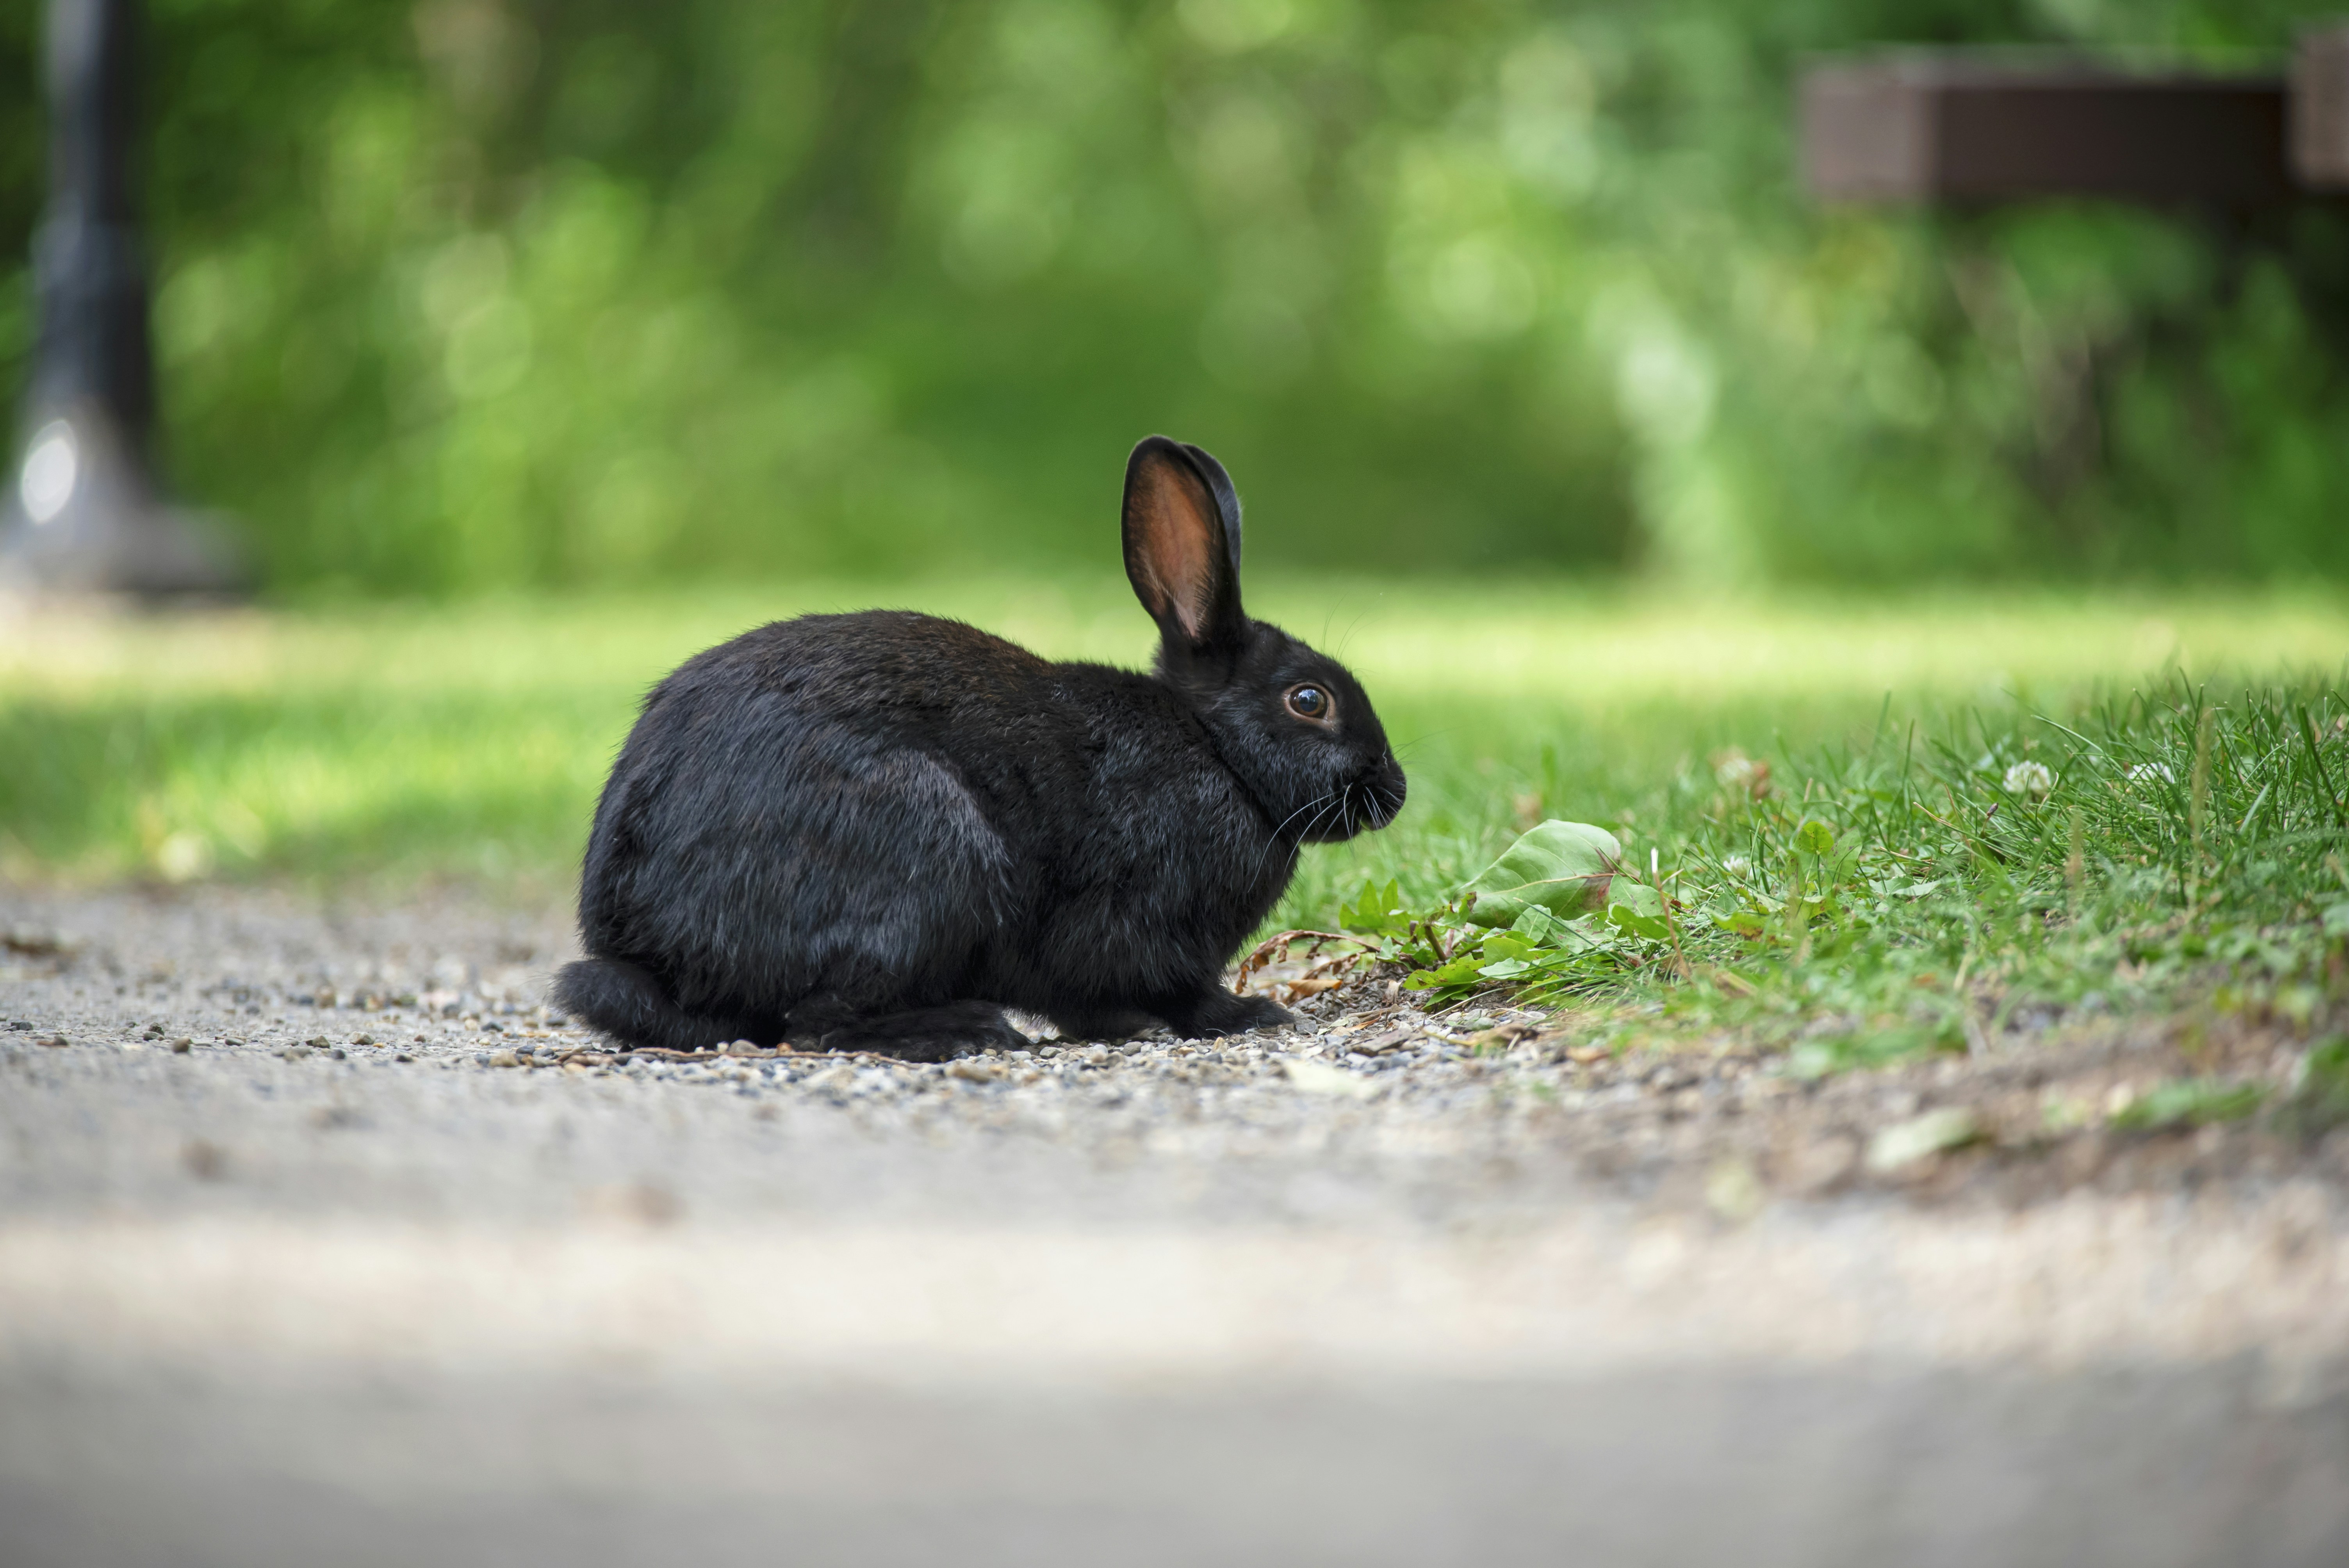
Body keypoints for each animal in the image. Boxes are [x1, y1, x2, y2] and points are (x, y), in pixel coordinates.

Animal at [551, 436, 1407, 1060]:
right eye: (1310, 701)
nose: (1393, 791)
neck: (1214, 748)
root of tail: (642, 947)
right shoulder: (1143, 926)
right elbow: (1173, 990)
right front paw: (1249, 1014)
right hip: (921, 851)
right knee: (817, 1023)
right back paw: (968, 1028)